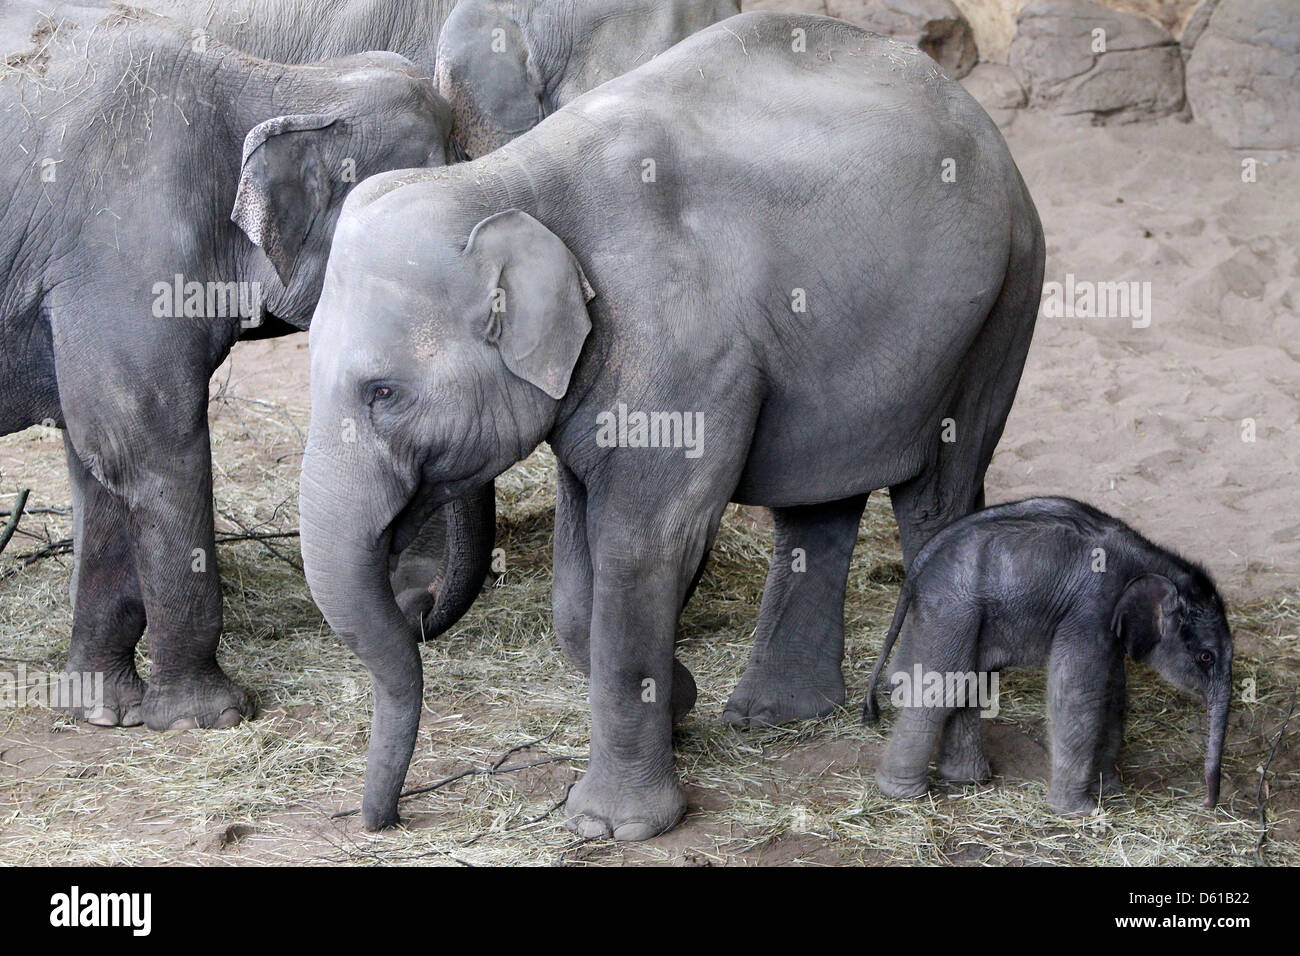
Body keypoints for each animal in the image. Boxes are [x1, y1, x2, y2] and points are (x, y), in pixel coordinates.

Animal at [0, 8, 454, 729]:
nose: (417, 606)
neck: (287, 83)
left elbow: (98, 455)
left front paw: (104, 712)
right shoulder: (124, 252)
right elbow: (146, 444)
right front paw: (208, 718)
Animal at [862, 497, 1234, 815]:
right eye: (1206, 657)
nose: (1207, 804)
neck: (1152, 559)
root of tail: (919, 564)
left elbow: (1112, 693)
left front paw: (1110, 790)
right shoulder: (1089, 609)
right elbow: (1075, 693)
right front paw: (1081, 811)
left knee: (972, 679)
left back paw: (968, 779)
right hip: (954, 606)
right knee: (945, 686)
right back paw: (903, 793)